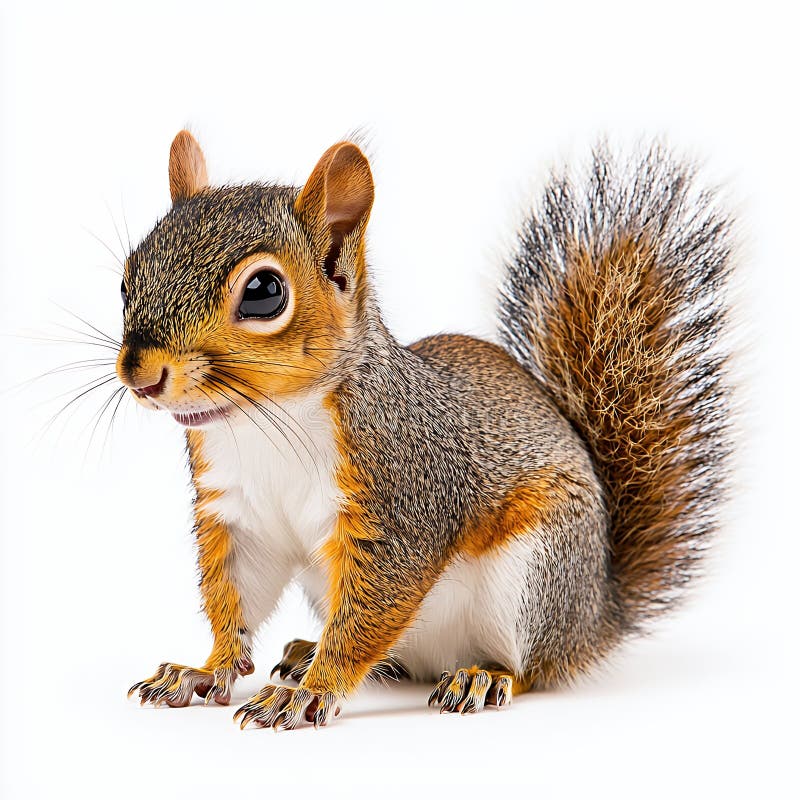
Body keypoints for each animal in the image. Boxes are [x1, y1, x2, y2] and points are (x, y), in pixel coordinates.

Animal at [121, 130, 733, 729]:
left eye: (265, 291)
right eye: (129, 277)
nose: (141, 375)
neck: (266, 420)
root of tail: (598, 612)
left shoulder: (404, 498)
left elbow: (371, 609)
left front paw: (312, 692)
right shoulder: (238, 514)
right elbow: (238, 599)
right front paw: (204, 670)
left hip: (536, 573)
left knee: (531, 666)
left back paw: (480, 678)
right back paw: (305, 653)